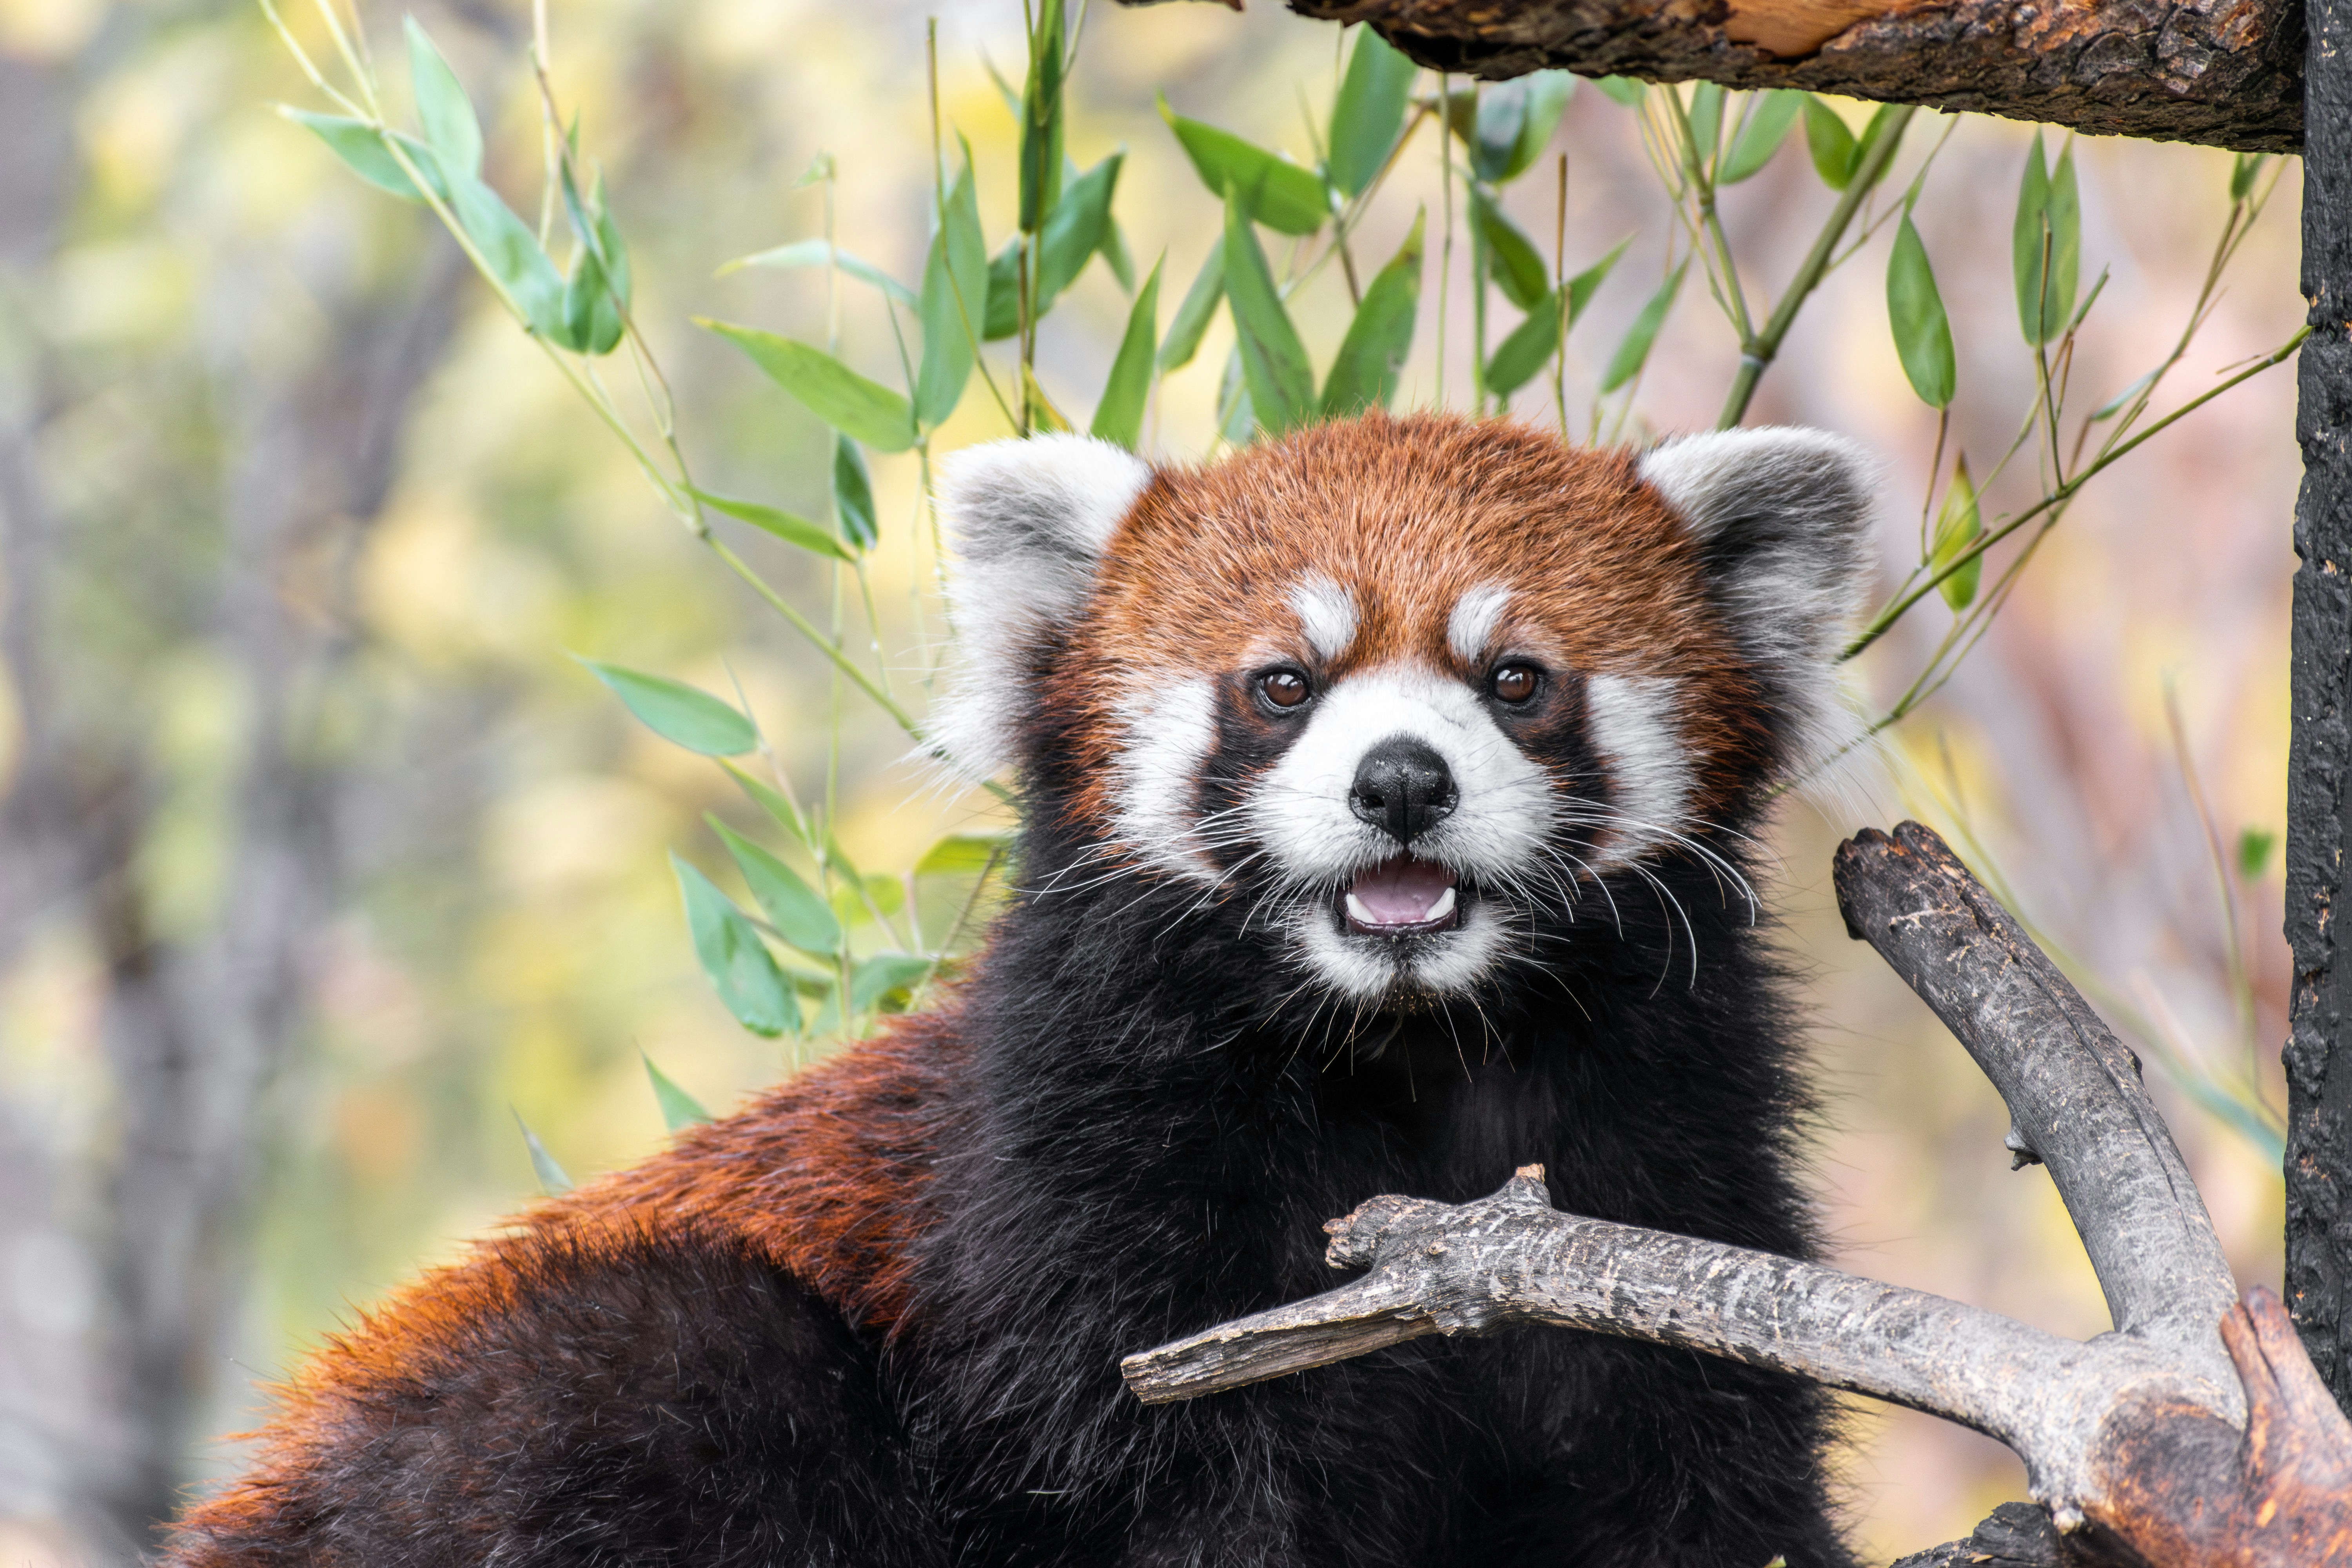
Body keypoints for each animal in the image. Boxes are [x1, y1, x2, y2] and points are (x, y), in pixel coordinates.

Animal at [170, 412, 1875, 1568]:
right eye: (1282, 687)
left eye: (1515, 680)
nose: (1400, 781)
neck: (1413, 1051)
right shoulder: (1080, 1195)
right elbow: (1186, 1476)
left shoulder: (1654, 1148)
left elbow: (1695, 1457)